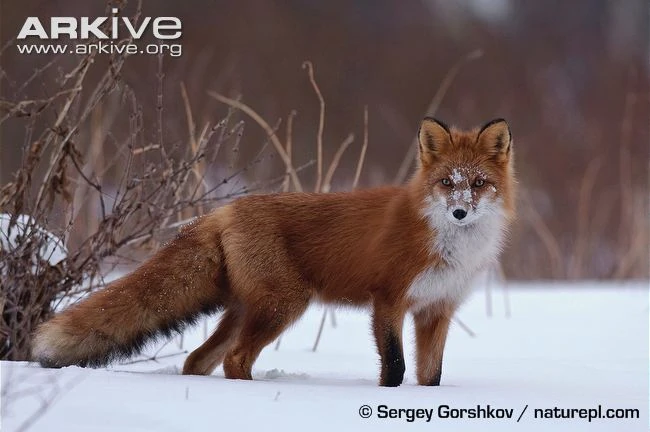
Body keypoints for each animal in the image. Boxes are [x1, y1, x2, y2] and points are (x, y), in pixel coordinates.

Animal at [31, 117, 515, 387]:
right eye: (447, 183)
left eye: (478, 184)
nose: (458, 212)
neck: (448, 244)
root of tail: (223, 210)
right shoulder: (389, 300)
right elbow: (395, 368)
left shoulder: (437, 309)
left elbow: (431, 376)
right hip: (283, 305)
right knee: (233, 359)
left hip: (247, 310)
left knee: (198, 360)